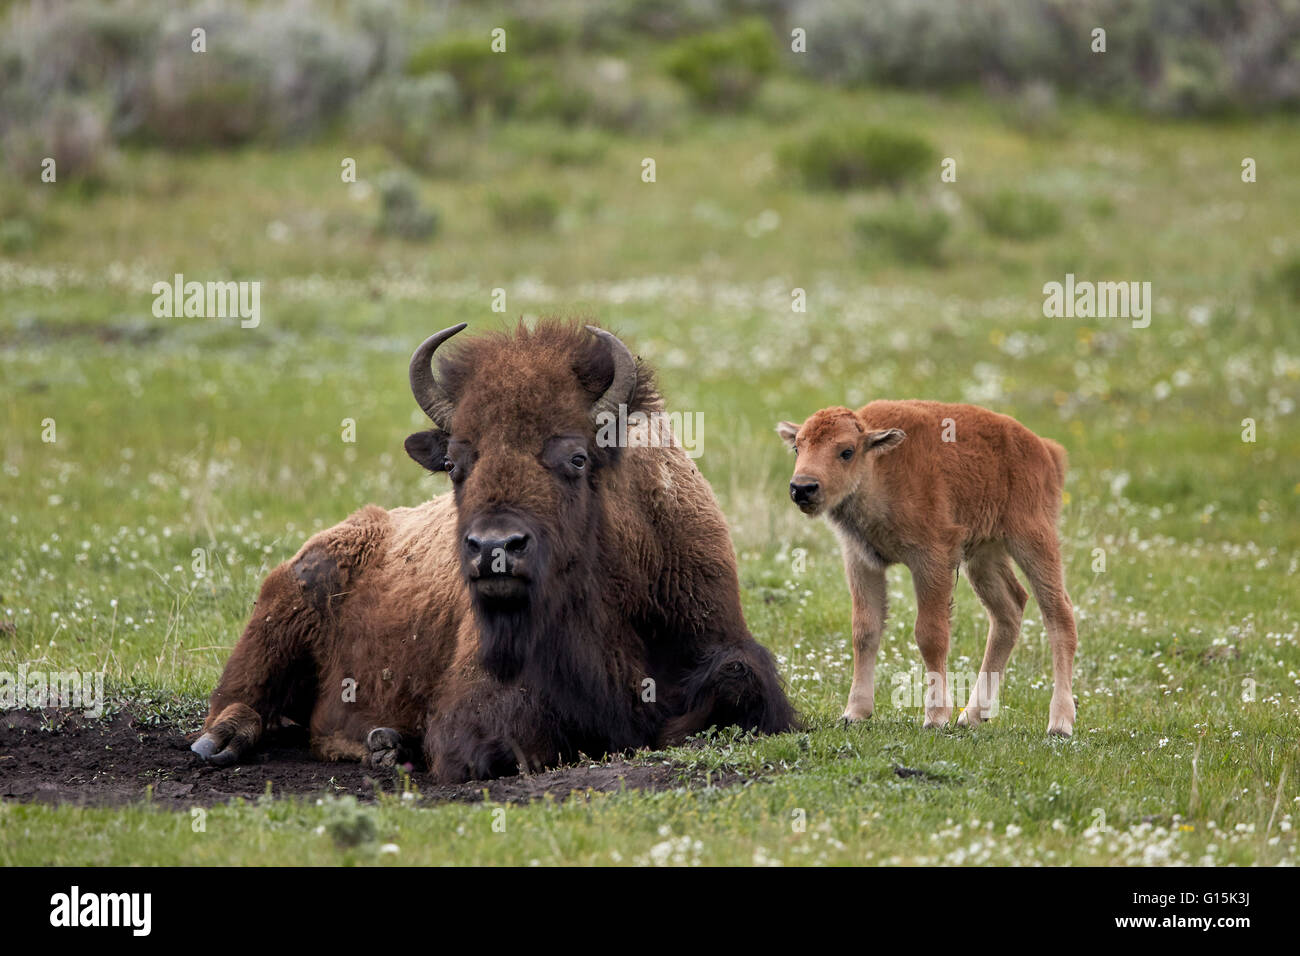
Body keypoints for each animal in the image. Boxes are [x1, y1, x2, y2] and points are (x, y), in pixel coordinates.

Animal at [191, 320, 795, 782]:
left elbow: (738, 680)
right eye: (455, 463)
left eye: (576, 457)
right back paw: (224, 744)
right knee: (240, 697)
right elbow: (501, 740)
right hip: (281, 613)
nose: (494, 548)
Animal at [776, 401, 1076, 736]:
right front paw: (854, 713)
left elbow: (930, 634)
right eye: (797, 447)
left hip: (1032, 540)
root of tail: (1045, 450)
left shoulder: (932, 559)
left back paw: (1060, 723)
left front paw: (935, 716)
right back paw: (972, 715)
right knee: (1009, 609)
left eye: (847, 451)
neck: (879, 466)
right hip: (984, 556)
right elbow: (865, 631)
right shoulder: (861, 560)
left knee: (1059, 614)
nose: (803, 487)